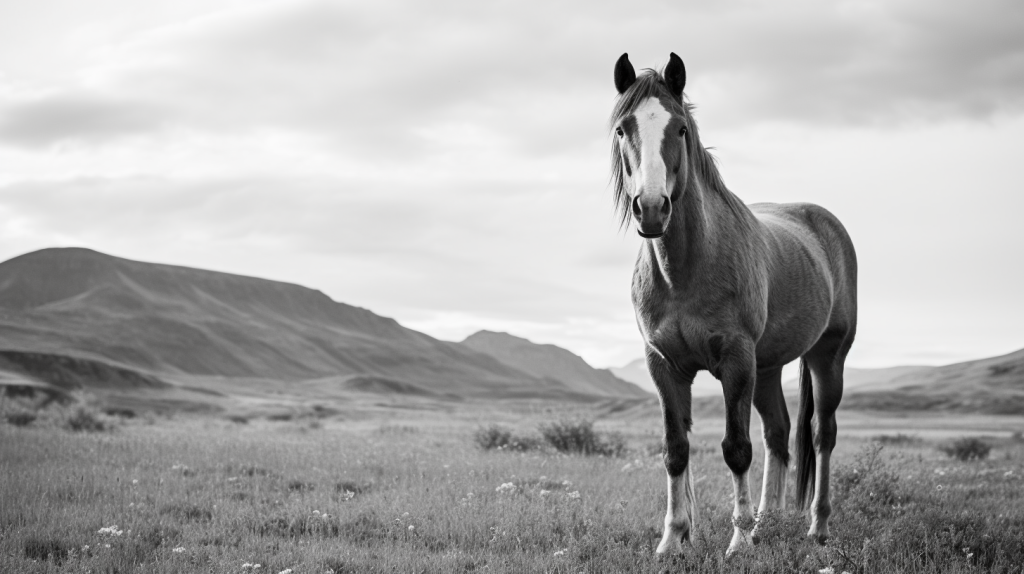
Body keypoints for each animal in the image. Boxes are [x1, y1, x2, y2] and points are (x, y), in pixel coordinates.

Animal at [609, 53, 857, 557]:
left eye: (681, 129)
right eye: (623, 128)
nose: (651, 207)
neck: (685, 269)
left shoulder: (737, 361)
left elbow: (736, 449)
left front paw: (738, 542)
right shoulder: (664, 365)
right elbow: (676, 449)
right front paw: (672, 539)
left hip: (827, 357)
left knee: (822, 435)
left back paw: (817, 527)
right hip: (768, 368)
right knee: (779, 434)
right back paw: (767, 524)